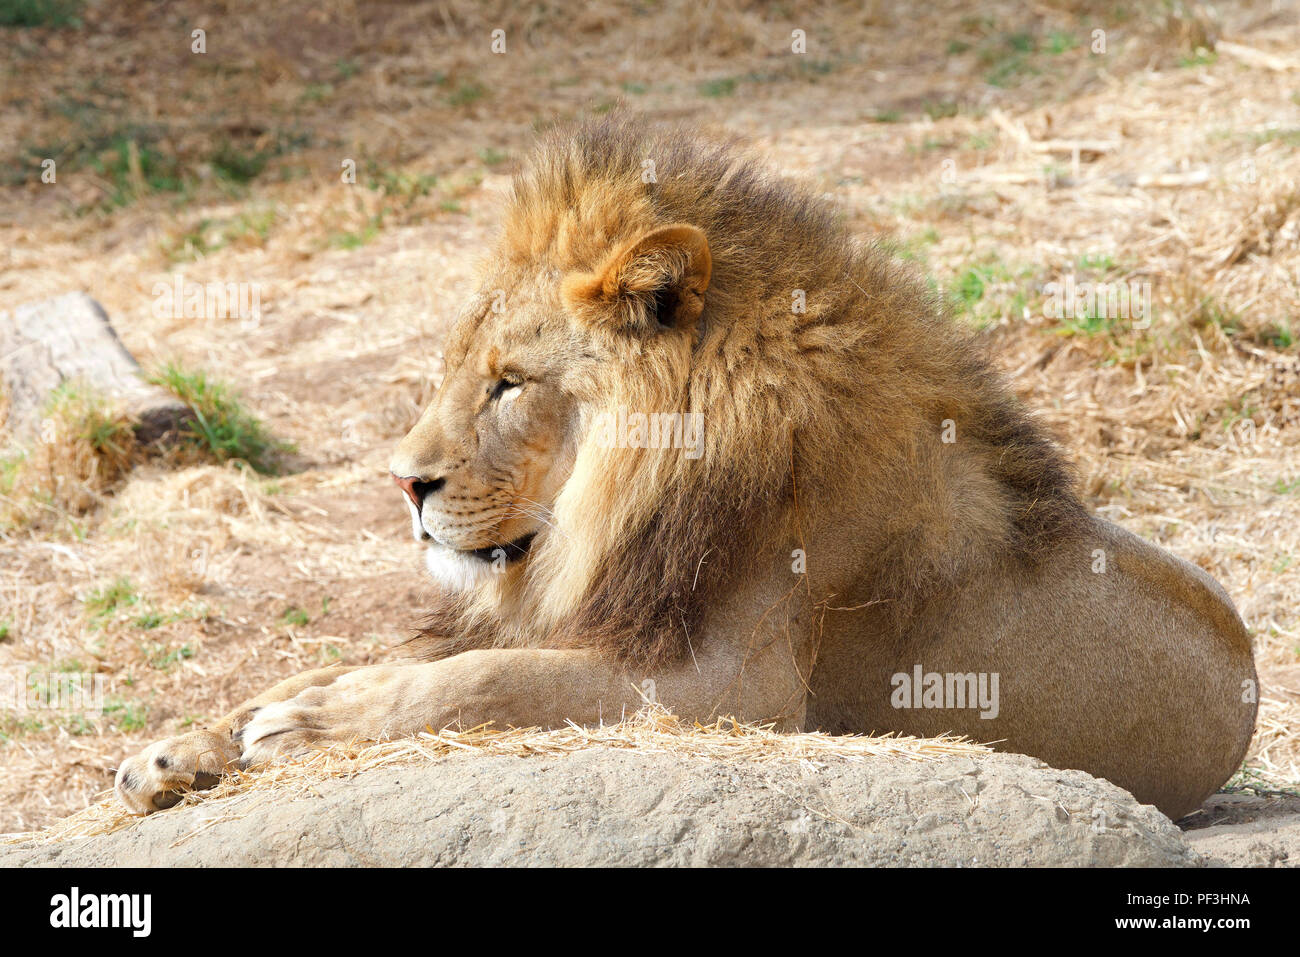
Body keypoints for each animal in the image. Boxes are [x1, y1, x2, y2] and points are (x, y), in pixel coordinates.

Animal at [116, 114, 1257, 821]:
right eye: (455, 374)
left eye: (509, 384)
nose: (405, 484)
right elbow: (383, 662)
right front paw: (184, 746)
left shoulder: (734, 691)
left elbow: (482, 681)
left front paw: (304, 726)